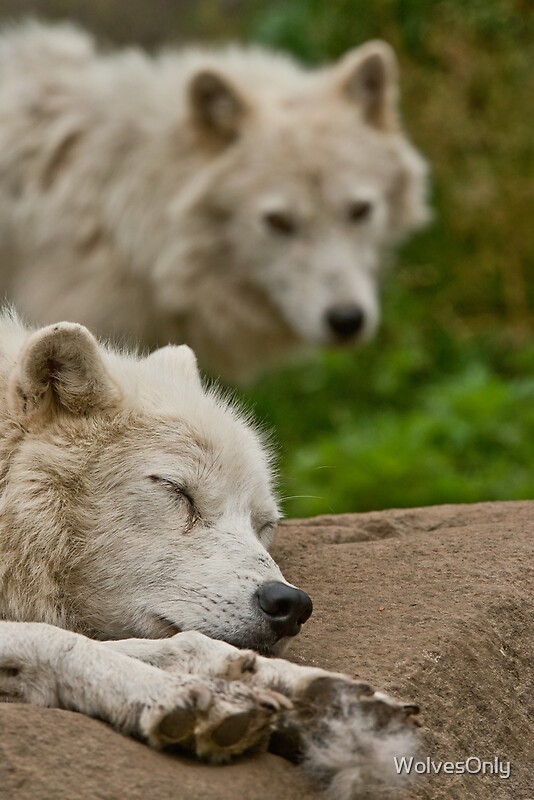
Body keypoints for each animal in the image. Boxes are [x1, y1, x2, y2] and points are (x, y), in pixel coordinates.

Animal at [0, 313, 418, 798]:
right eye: (177, 491)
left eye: (264, 524)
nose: (291, 605)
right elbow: (54, 638)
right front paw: (168, 693)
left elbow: (179, 644)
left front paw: (295, 688)